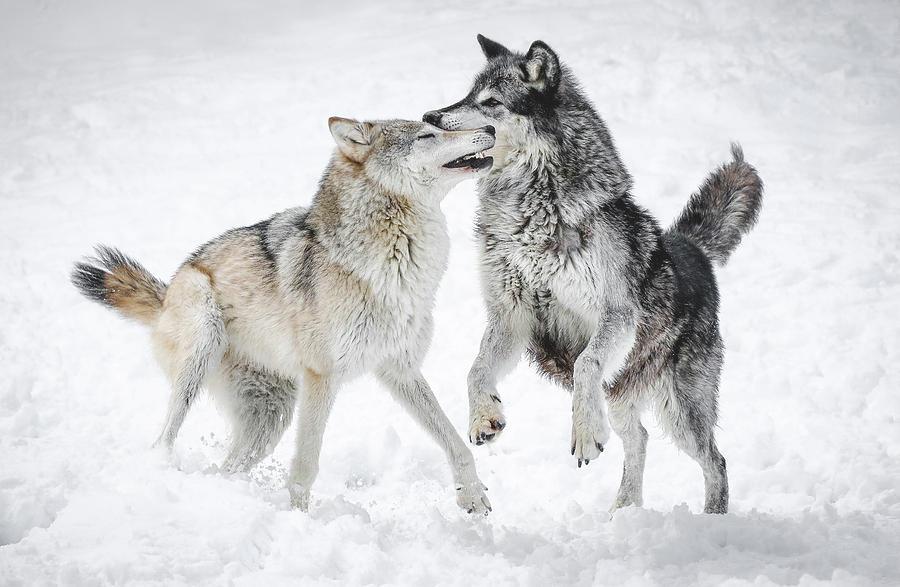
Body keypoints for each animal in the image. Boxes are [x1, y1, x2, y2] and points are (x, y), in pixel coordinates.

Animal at [71, 117, 497, 514]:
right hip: (203, 346)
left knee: (227, 467)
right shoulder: (321, 377)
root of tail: (165, 296)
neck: (394, 264)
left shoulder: (400, 369)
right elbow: (305, 466)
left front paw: (472, 495)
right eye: (427, 135)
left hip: (269, 420)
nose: (491, 128)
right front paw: (300, 520)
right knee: (162, 441)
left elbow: (455, 442)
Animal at [423, 36, 763, 514]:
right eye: (468, 95)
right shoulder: (511, 318)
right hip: (622, 396)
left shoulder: (615, 316)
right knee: (640, 438)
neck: (531, 210)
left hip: (680, 410)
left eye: (491, 102)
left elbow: (586, 363)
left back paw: (711, 519)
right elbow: (475, 370)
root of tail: (691, 246)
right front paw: (484, 418)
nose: (430, 117)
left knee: (716, 461)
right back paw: (625, 511)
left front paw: (584, 437)